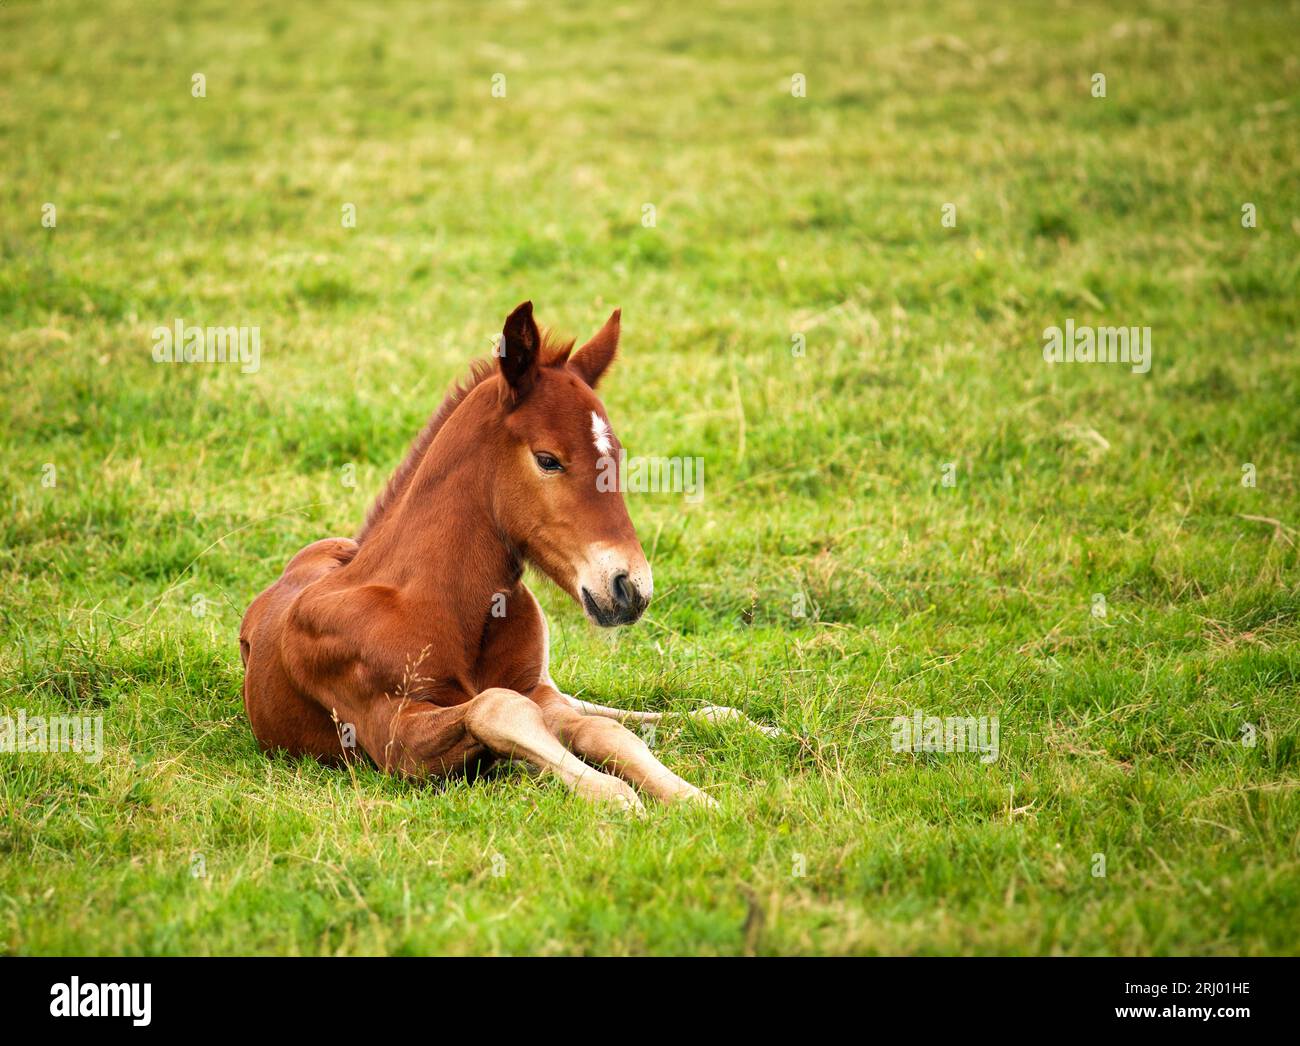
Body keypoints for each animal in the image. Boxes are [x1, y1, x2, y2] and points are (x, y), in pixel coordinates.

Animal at [239, 302, 774, 812]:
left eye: (617, 458)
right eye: (548, 460)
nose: (631, 588)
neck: (441, 602)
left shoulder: (536, 689)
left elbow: (599, 729)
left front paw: (693, 797)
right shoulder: (390, 736)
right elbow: (498, 708)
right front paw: (614, 795)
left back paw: (744, 723)